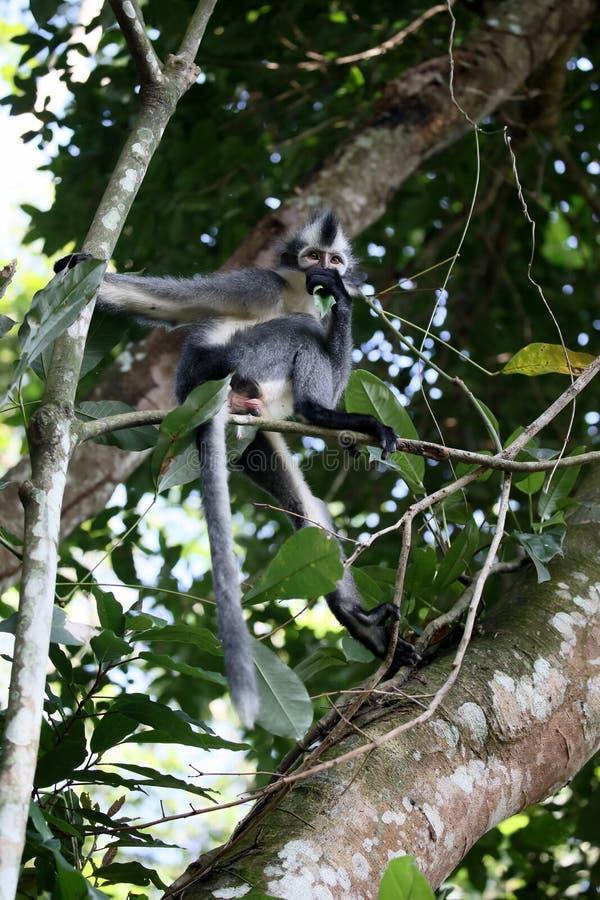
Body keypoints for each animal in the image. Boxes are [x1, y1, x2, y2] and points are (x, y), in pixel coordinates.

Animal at [56, 210, 417, 726]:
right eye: (312, 256)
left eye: (334, 260)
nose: (323, 272)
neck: (296, 292)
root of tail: (199, 393)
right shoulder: (263, 285)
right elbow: (176, 306)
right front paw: (78, 267)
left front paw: (342, 299)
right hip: (238, 361)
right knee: (303, 340)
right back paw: (322, 414)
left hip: (253, 440)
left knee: (305, 508)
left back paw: (360, 622)